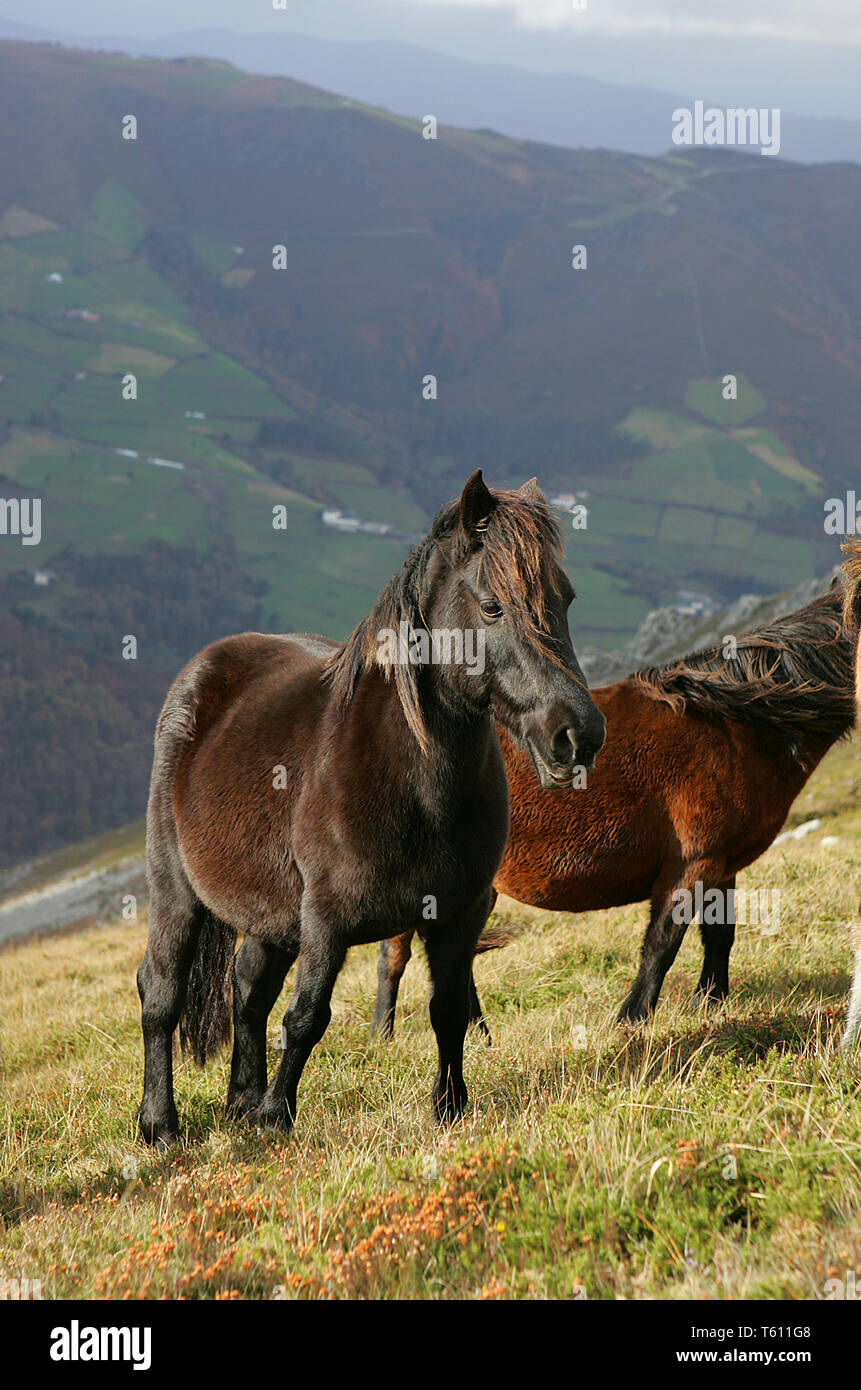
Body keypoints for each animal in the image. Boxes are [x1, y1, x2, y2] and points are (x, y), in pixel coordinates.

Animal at [136, 471, 606, 1143]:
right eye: (493, 605)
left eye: (565, 600)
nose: (578, 736)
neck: (413, 781)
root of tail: (202, 674)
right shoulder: (327, 920)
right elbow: (307, 1016)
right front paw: (278, 1121)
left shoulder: (460, 913)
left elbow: (448, 1009)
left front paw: (449, 1107)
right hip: (177, 892)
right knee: (162, 993)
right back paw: (161, 1125)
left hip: (272, 915)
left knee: (248, 989)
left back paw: (241, 1102)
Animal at [373, 583, 855, 1037]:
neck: (736, 726)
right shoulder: (691, 864)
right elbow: (662, 944)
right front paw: (633, 1019)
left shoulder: (722, 864)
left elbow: (720, 937)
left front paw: (711, 1003)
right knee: (395, 955)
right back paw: (384, 1037)